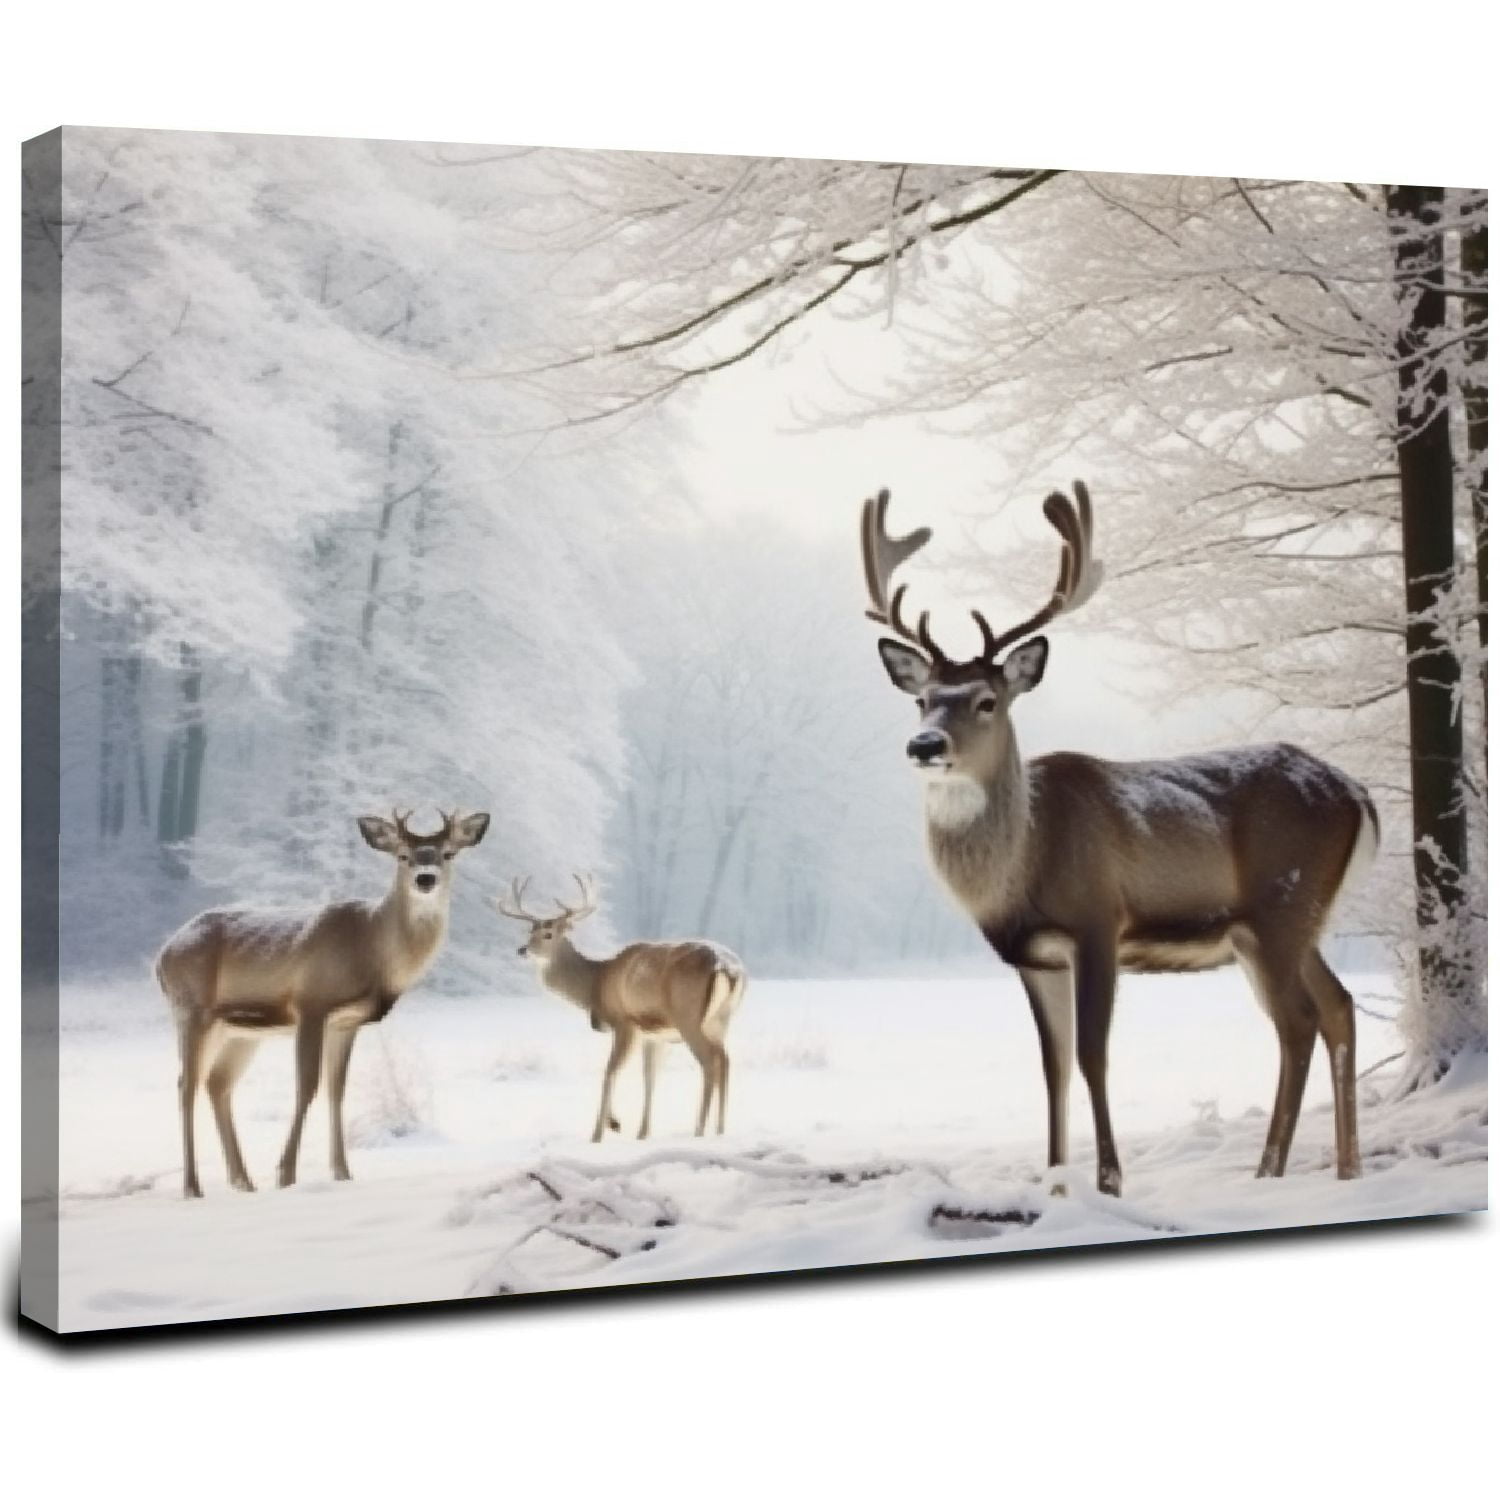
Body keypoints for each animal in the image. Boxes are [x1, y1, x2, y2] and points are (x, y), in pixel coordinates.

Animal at [154, 807, 491, 1197]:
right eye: (402, 856)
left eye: (448, 853)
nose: (425, 878)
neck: (372, 950)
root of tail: (162, 957)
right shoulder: (311, 1003)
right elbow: (307, 1085)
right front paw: (286, 1174)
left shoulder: (346, 1022)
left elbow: (337, 1090)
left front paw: (342, 1172)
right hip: (192, 1010)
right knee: (186, 1085)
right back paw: (193, 1187)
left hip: (239, 1032)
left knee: (217, 1083)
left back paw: (243, 1181)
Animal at [495, 875, 748, 1143]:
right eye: (529, 931)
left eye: (548, 933)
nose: (522, 950)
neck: (597, 983)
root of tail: (727, 967)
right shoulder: (654, 1035)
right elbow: (649, 1078)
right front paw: (642, 1132)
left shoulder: (624, 1022)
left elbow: (609, 1071)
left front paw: (602, 1130)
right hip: (719, 1020)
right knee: (725, 1059)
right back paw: (720, 1129)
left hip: (688, 1017)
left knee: (709, 1062)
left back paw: (699, 1130)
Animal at [860, 482, 1378, 1195]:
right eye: (923, 699)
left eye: (987, 700)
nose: (925, 745)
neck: (1023, 863)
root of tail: (1357, 794)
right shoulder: (1035, 956)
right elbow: (1051, 1066)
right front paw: (1054, 1182)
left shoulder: (1097, 922)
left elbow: (1092, 1054)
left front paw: (1109, 1180)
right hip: (1285, 926)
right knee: (1339, 1007)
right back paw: (1349, 1171)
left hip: (1282, 907)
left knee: (1297, 1024)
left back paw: (1267, 1172)